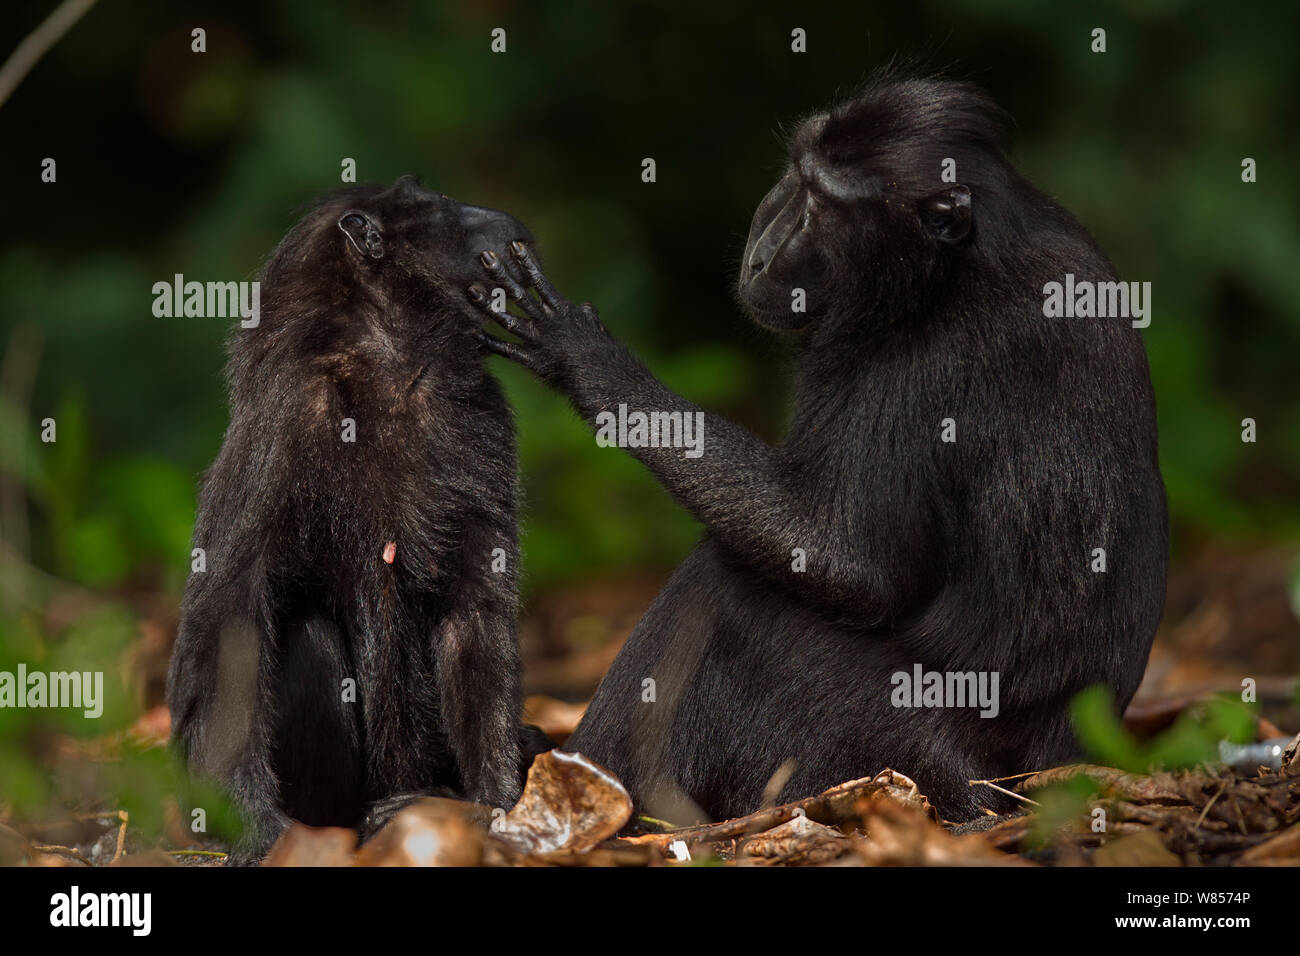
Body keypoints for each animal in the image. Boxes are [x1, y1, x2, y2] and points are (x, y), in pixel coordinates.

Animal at [167, 175, 538, 863]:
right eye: (441, 210)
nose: (510, 222)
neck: (387, 362)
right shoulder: (283, 416)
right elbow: (232, 608)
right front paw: (256, 827)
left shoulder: (483, 421)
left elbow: (476, 606)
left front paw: (496, 803)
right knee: (309, 636)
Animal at [467, 73, 1167, 824]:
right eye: (795, 179)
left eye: (822, 206)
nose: (761, 250)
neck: (955, 263)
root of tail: (998, 781)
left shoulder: (920, 365)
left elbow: (848, 558)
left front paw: (583, 357)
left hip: (878, 733)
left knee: (731, 586)